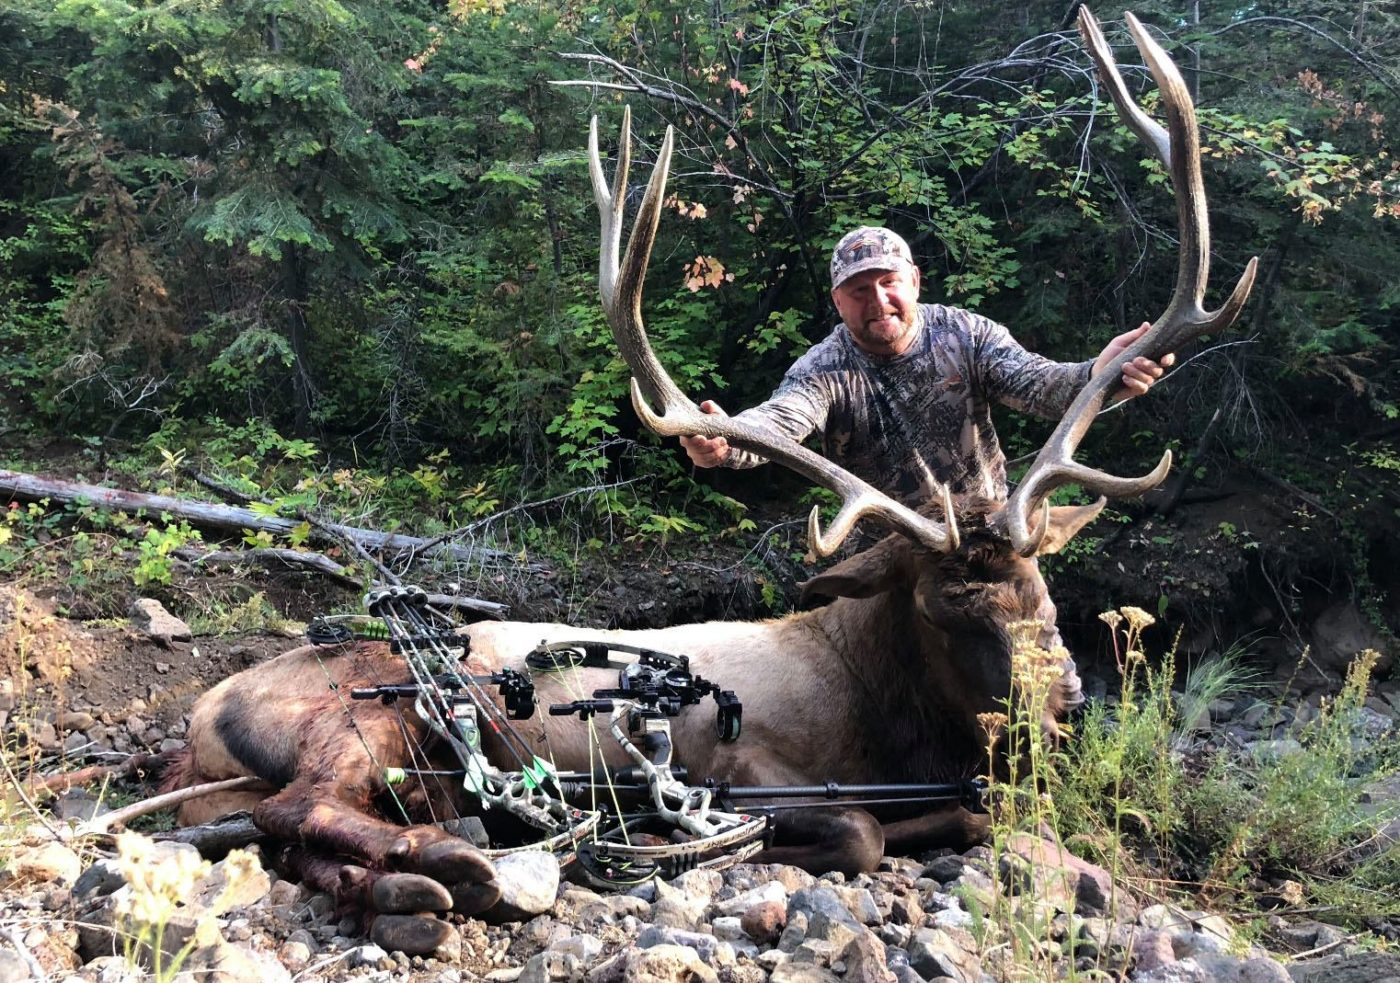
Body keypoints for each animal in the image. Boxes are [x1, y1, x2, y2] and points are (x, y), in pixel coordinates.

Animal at [156, 9, 1254, 955]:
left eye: (1040, 585)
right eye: (950, 603)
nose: (1062, 697)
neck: (892, 718)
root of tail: (198, 719)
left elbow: (970, 821)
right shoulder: (746, 766)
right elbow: (854, 830)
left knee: (288, 826)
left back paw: (412, 878)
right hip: (362, 714)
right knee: (298, 805)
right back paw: (453, 866)